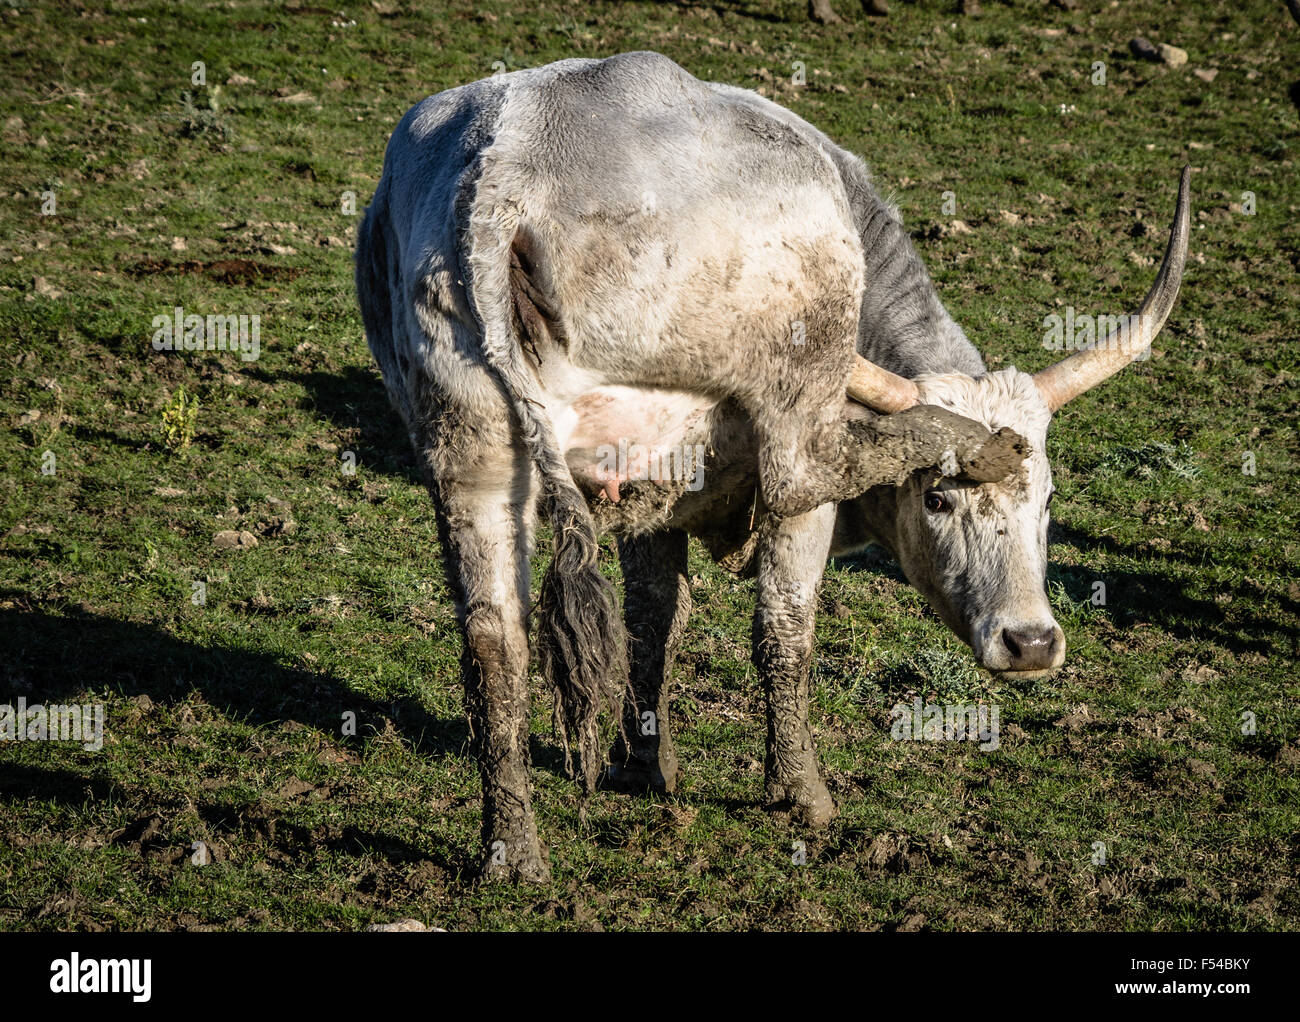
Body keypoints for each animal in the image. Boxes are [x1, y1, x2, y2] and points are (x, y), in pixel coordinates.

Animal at [355, 51, 1188, 881]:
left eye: (1047, 504)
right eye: (937, 504)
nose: (1032, 643)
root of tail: (504, 173)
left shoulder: (649, 492)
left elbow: (654, 616)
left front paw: (645, 763)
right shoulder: (774, 500)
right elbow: (783, 631)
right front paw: (797, 793)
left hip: (476, 463)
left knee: (493, 642)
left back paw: (512, 850)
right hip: (793, 405)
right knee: (809, 471)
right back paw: (956, 435)